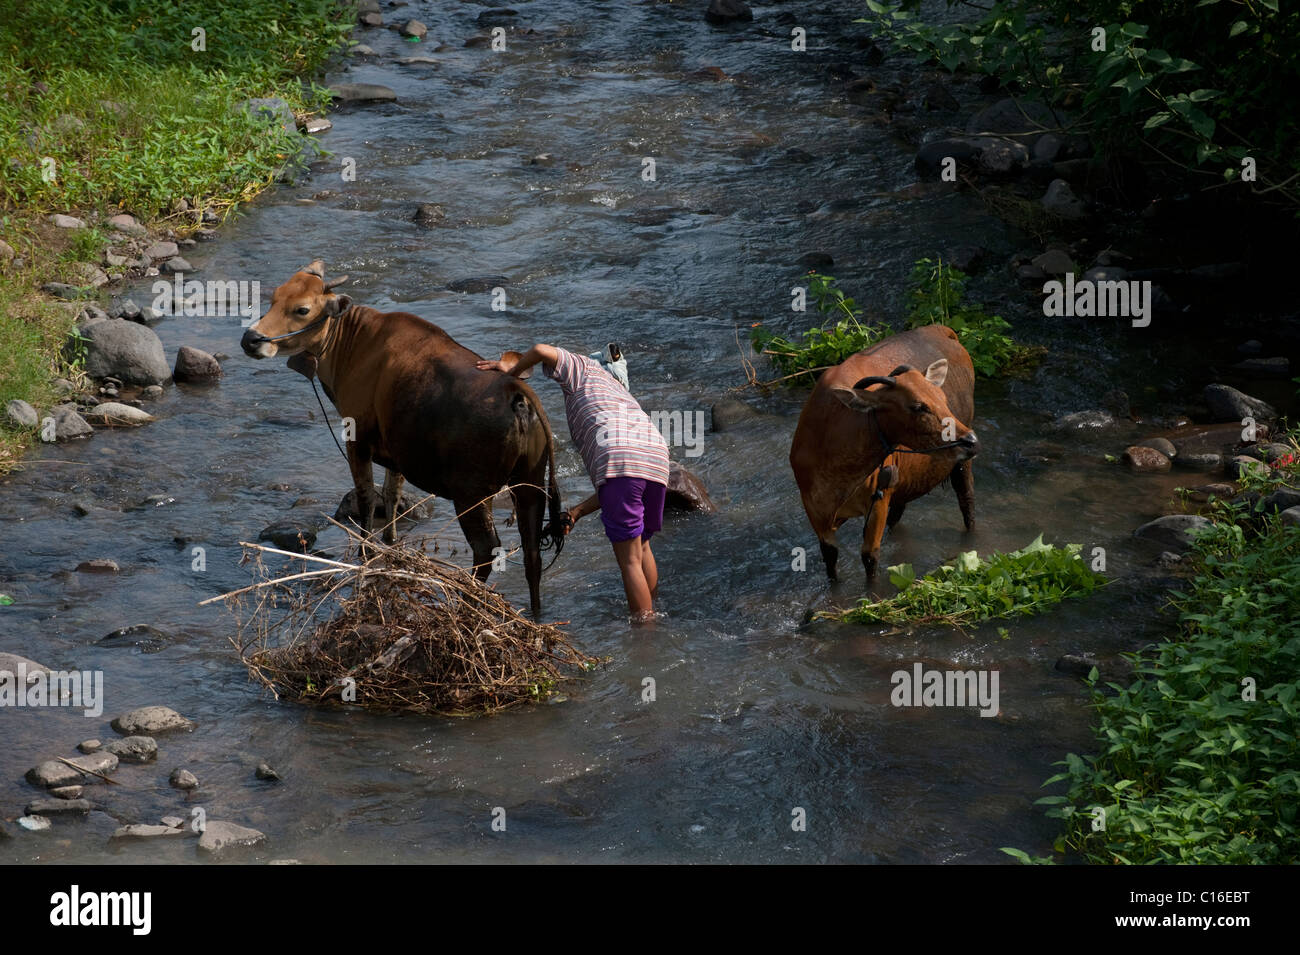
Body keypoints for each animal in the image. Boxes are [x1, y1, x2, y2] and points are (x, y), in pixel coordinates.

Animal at [239, 261, 564, 615]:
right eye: (274, 297)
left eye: (302, 309)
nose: (250, 339)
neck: (351, 346)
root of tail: (516, 394)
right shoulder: (397, 454)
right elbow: (392, 496)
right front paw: (391, 542)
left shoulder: (357, 439)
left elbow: (367, 497)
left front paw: (366, 552)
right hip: (529, 484)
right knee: (532, 551)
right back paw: (536, 613)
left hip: (472, 494)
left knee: (487, 548)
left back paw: (468, 600)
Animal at [789, 324, 979, 581]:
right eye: (917, 406)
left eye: (942, 398)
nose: (971, 441)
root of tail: (941, 329)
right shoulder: (814, 508)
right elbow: (830, 557)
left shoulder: (878, 499)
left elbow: (870, 557)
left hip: (960, 466)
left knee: (967, 503)